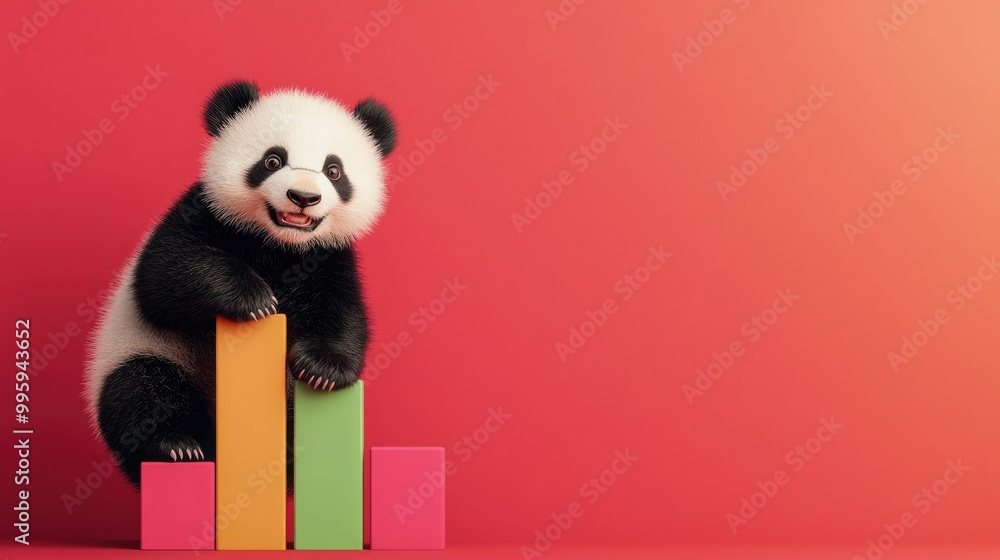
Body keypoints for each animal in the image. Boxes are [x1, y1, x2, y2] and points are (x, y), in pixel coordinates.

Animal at [83, 80, 397, 489]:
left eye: (333, 170)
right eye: (272, 161)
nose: (303, 197)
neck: (279, 243)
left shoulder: (329, 255)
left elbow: (343, 311)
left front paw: (323, 367)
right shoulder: (204, 211)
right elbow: (162, 276)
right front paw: (254, 299)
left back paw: (290, 457)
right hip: (145, 349)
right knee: (141, 390)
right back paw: (176, 446)